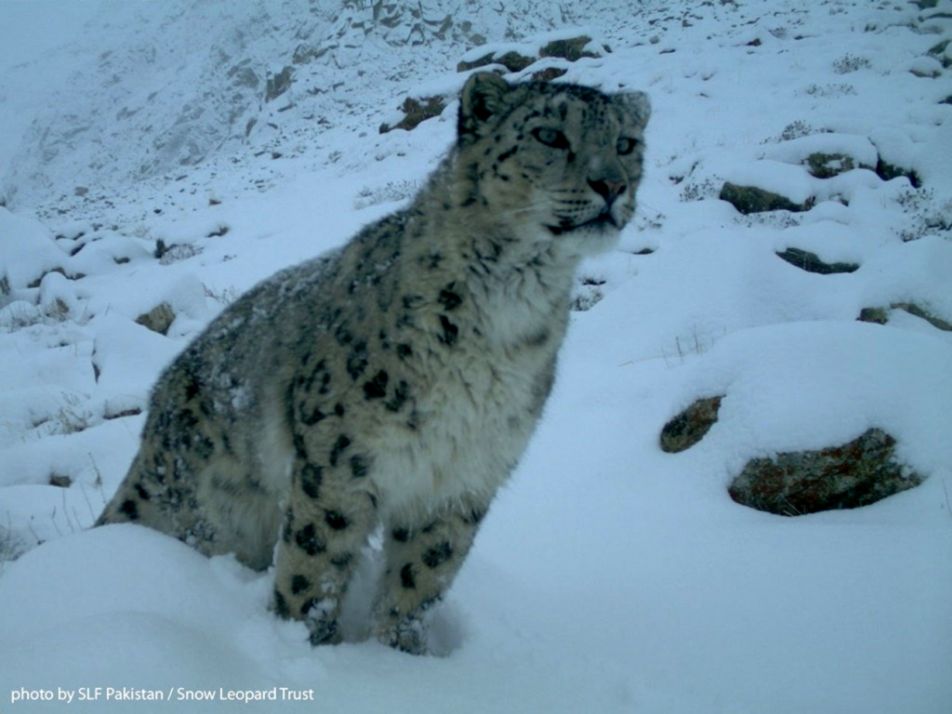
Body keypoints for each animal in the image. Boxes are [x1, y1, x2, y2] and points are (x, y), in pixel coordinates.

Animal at [96, 72, 650, 654]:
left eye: (626, 143)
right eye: (548, 134)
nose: (611, 185)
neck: (510, 309)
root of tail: (160, 400)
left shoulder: (464, 473)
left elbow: (421, 576)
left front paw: (399, 654)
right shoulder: (340, 460)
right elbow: (314, 563)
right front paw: (310, 646)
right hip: (208, 511)